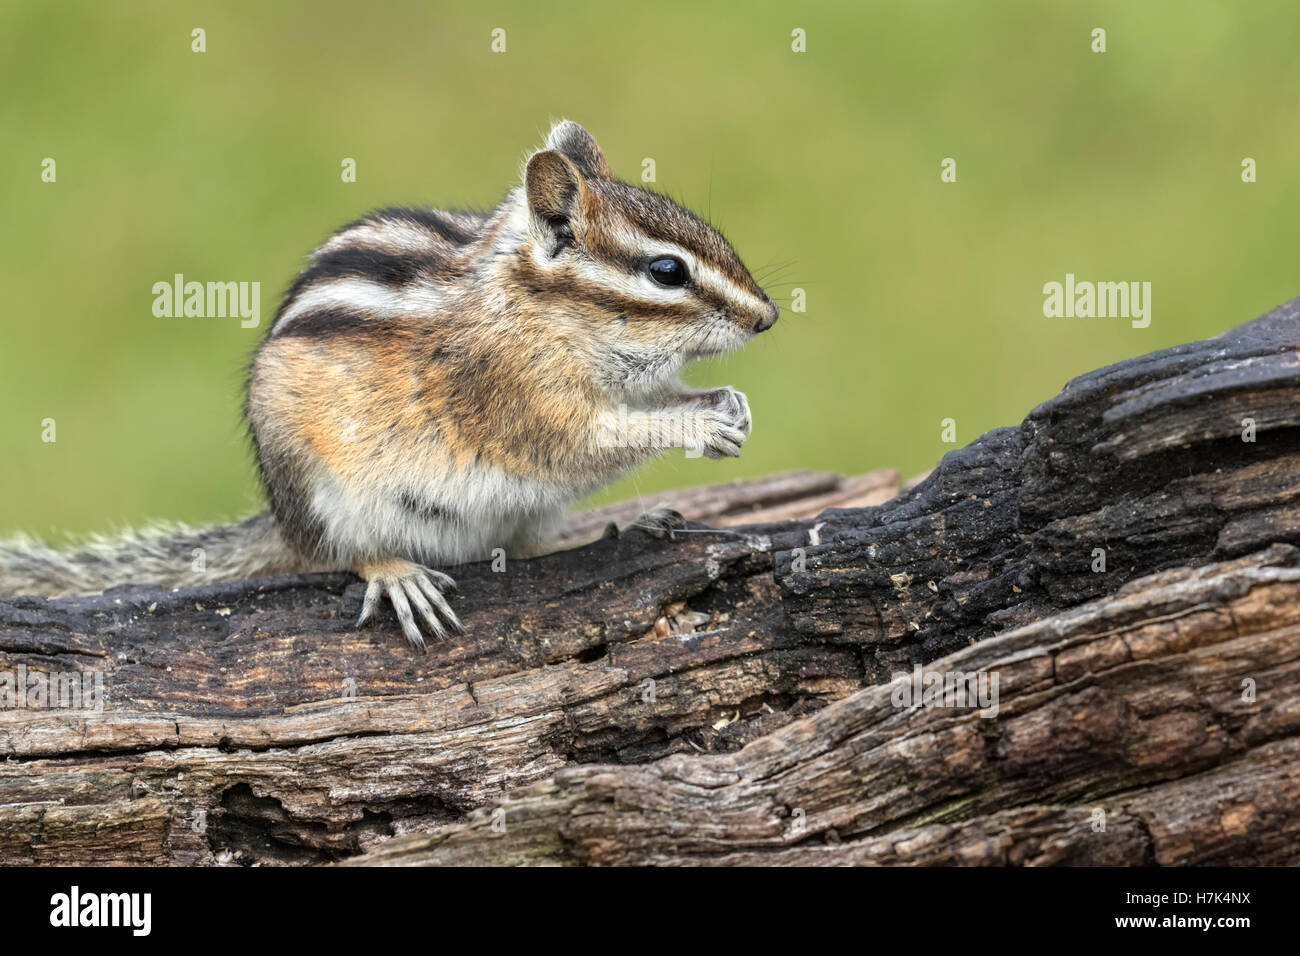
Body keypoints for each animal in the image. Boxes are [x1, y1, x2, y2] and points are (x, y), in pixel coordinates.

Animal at [0, 121, 779, 648]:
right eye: (667, 272)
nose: (768, 316)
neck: (541, 312)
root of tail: (282, 519)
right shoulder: (515, 396)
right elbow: (587, 441)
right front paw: (701, 422)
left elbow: (645, 405)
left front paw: (729, 408)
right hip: (327, 494)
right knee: (343, 552)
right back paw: (396, 574)